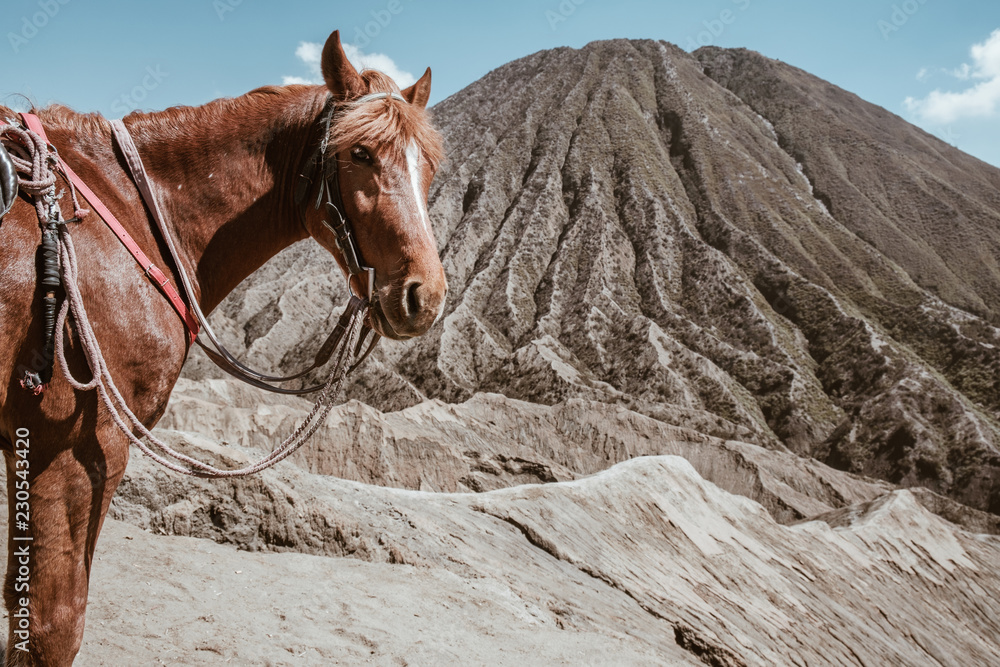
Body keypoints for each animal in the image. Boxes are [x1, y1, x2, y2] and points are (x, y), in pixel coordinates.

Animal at [0, 29, 446, 665]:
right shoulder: (69, 449)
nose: (424, 296)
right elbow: (51, 627)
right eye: (361, 154)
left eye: (428, 165)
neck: (127, 212)